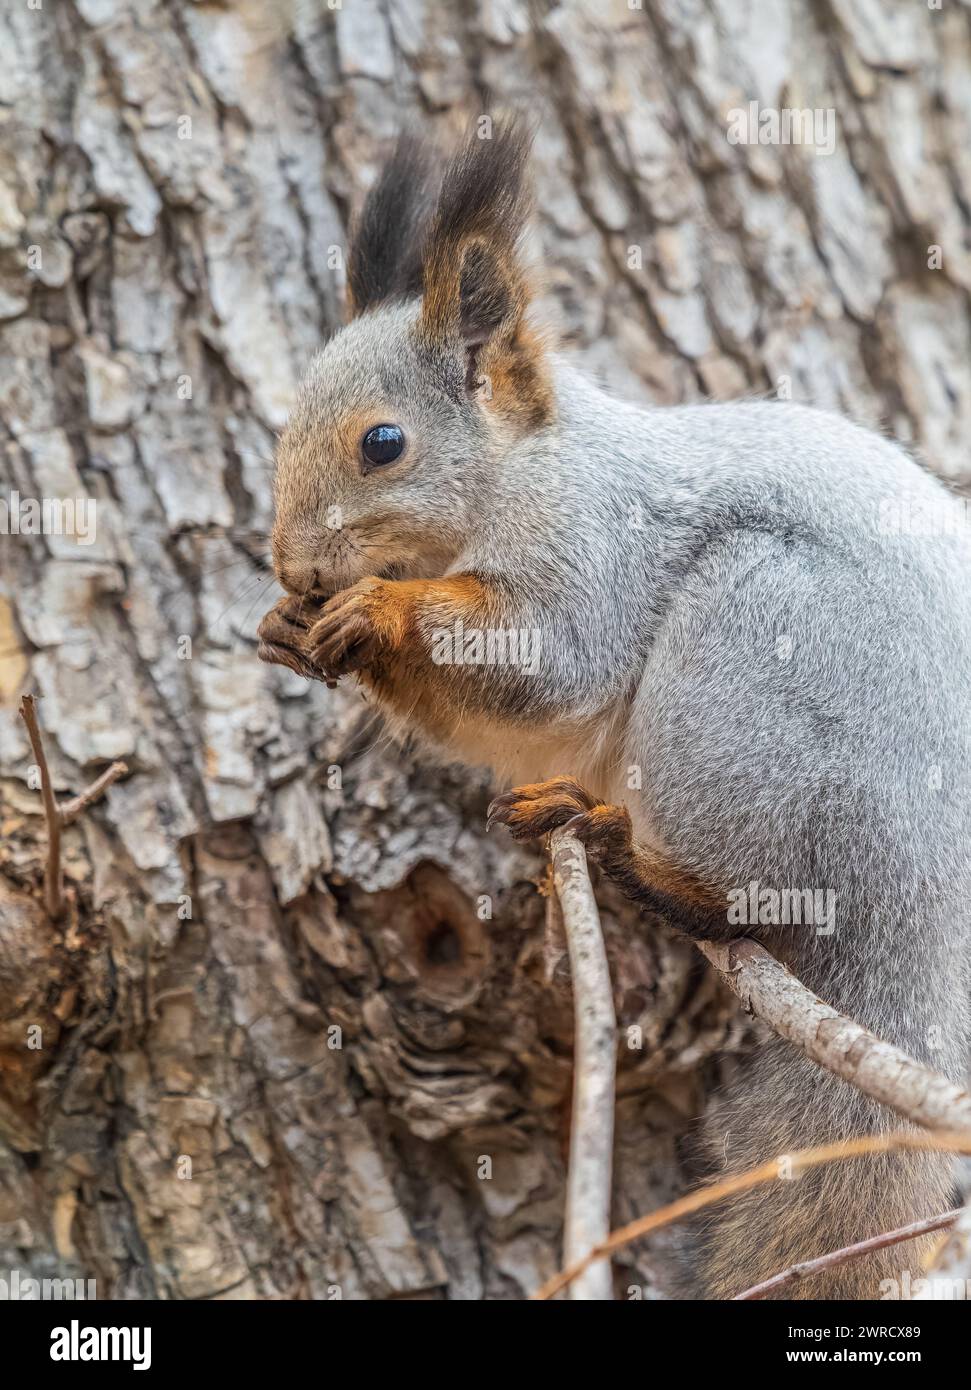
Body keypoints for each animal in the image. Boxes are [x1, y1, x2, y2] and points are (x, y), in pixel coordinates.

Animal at [257, 120, 971, 1299]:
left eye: (381, 444)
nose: (294, 566)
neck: (523, 468)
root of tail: (924, 906)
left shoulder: (591, 550)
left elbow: (546, 663)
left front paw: (374, 612)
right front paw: (287, 627)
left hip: (749, 667)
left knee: (748, 903)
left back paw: (634, 862)